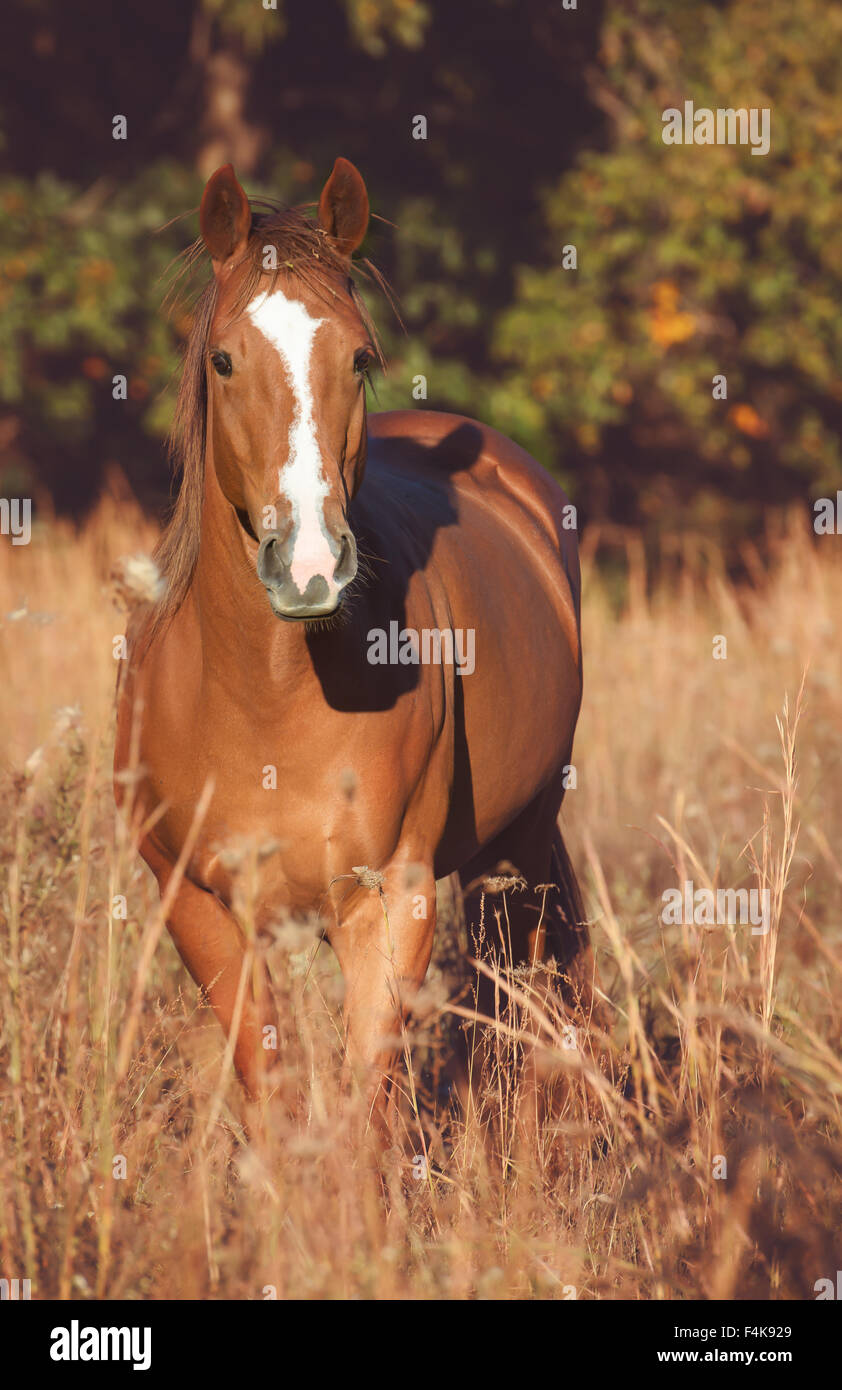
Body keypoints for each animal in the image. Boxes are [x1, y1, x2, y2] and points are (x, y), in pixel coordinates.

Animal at [114, 157, 594, 1135]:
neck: (266, 696)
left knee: (520, 1001)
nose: (308, 566)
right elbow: (270, 1093)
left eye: (361, 359)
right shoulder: (199, 908)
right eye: (223, 359)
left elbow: (366, 1112)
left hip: (517, 847)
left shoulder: (388, 898)